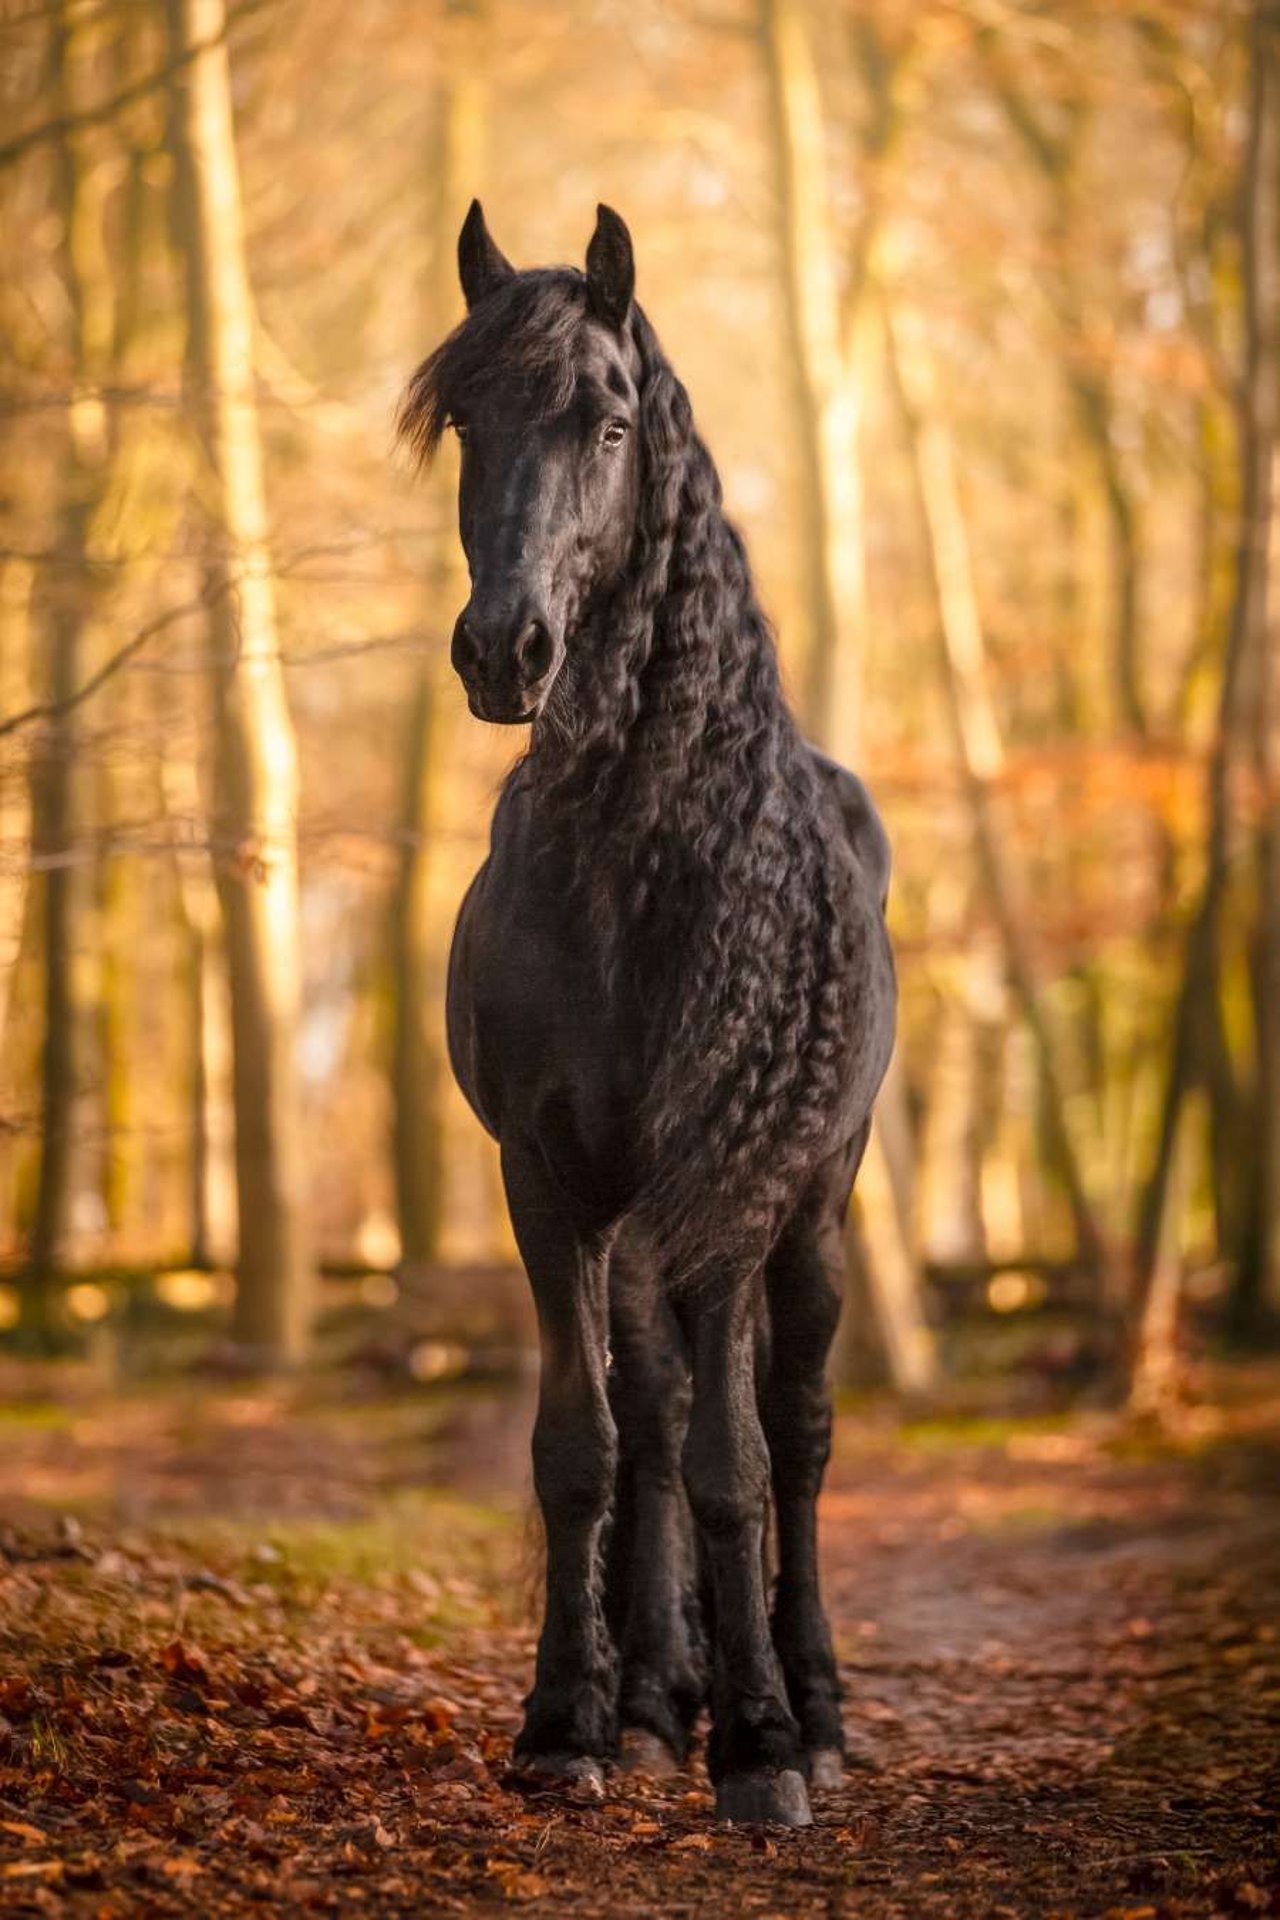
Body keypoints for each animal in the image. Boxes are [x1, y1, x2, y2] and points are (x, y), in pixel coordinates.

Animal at [398, 202, 896, 1827]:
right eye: (465, 420)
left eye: (609, 421)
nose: (503, 653)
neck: (636, 866)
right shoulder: (549, 1180)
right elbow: (588, 1443)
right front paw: (570, 1720)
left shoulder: (730, 1191)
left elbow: (738, 1462)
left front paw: (762, 1750)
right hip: (632, 1227)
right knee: (657, 1419)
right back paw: (654, 1698)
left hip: (813, 1210)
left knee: (791, 1434)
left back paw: (806, 1703)